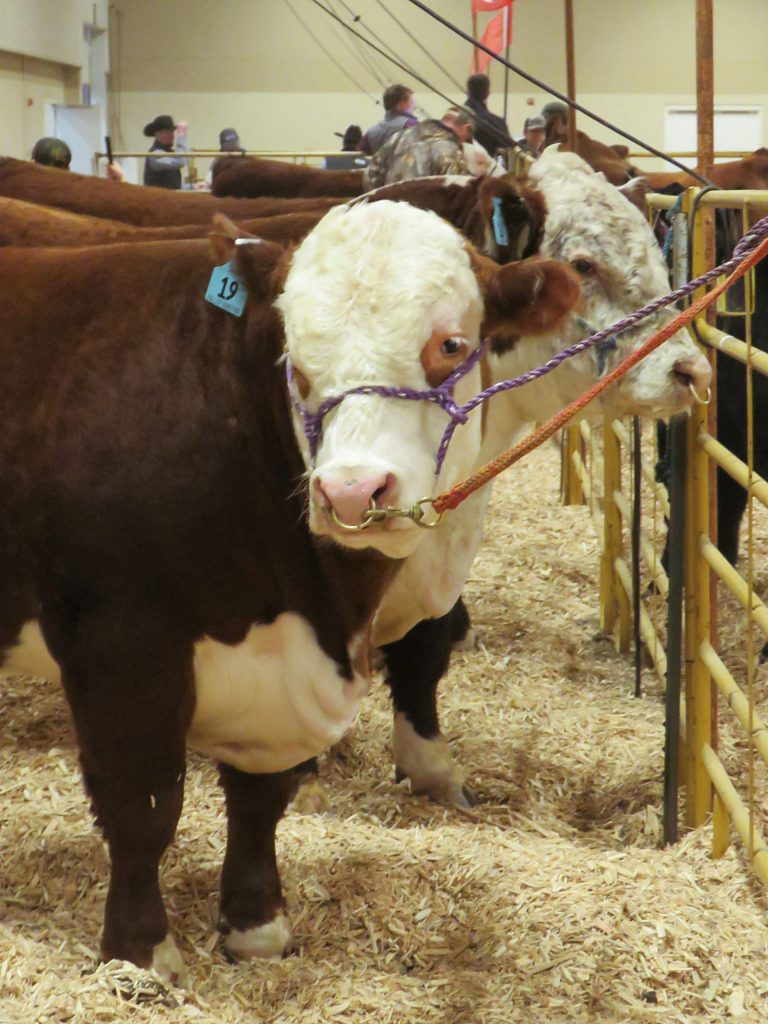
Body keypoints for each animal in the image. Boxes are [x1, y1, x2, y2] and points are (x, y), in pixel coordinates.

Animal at [0, 200, 580, 979]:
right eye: (293, 362)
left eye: (451, 344)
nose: (352, 492)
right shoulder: (118, 643)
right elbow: (142, 804)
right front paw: (141, 954)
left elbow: (260, 797)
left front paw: (256, 927)